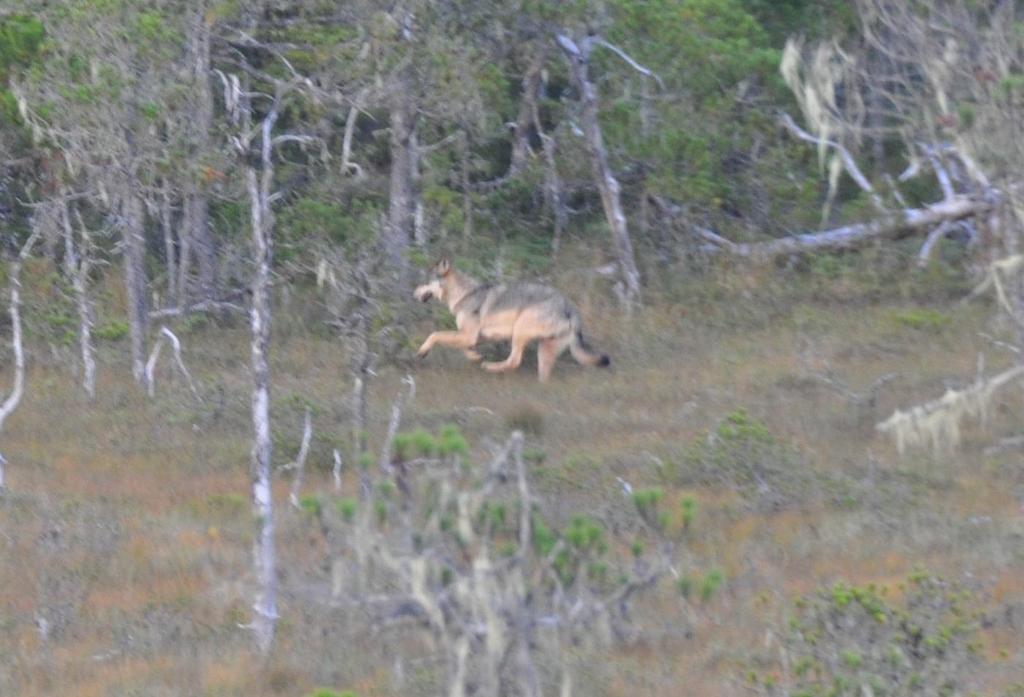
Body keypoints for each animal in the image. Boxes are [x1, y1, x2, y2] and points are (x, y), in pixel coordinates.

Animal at [413, 257, 610, 382]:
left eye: (425, 281)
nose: (413, 293)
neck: (465, 294)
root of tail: (570, 308)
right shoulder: (473, 337)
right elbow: (465, 349)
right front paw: (475, 356)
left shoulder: (468, 335)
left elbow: (435, 334)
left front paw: (422, 351)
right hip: (544, 349)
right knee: (542, 376)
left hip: (520, 331)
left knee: (514, 361)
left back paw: (489, 367)